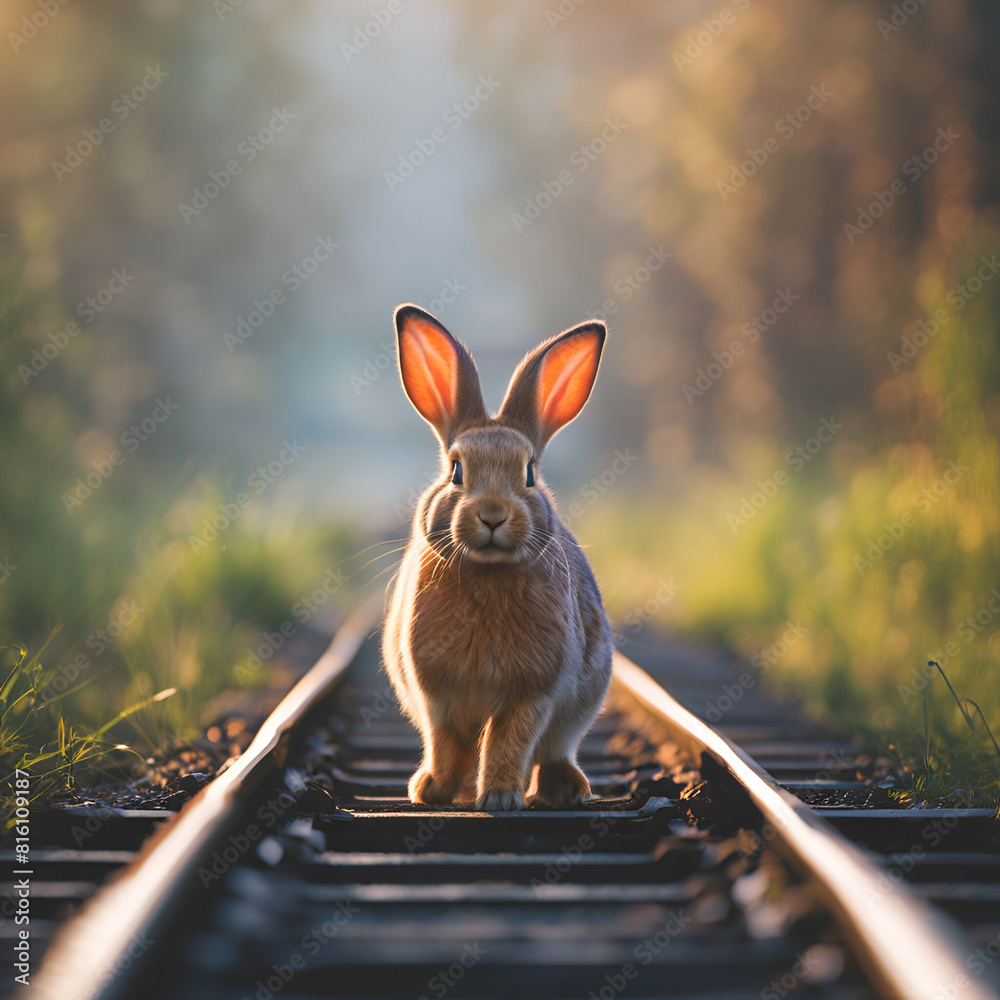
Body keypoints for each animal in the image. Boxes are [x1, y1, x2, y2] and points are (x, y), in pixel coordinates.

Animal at [382, 304, 614, 811]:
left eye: (529, 473)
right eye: (456, 471)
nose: (492, 515)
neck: (487, 573)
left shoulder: (533, 691)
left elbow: (510, 739)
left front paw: (501, 797)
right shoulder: (437, 695)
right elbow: (446, 740)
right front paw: (432, 791)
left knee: (553, 750)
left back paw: (565, 789)